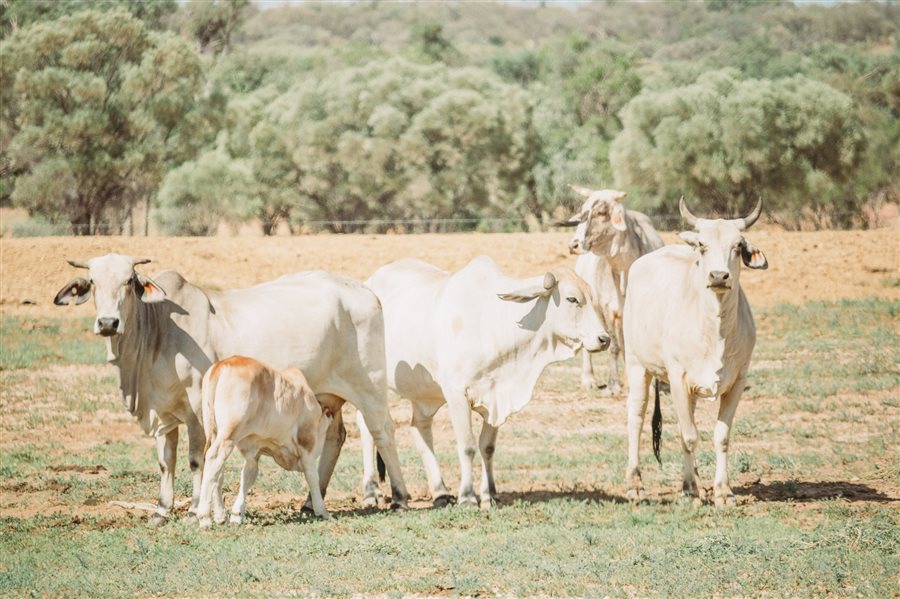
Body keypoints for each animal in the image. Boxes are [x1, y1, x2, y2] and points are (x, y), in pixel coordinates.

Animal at [197, 356, 339, 528]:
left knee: (217, 469)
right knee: (214, 458)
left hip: (213, 432)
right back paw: (204, 517)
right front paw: (322, 511)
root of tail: (224, 364)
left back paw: (219, 515)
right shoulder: (307, 447)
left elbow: (247, 477)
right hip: (229, 434)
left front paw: (237, 515)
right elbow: (312, 477)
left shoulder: (254, 451)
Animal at [359, 256, 610, 508]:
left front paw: (490, 495)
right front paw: (468, 496)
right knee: (369, 427)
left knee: (420, 430)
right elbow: (467, 446)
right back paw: (373, 492)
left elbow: (487, 447)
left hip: (422, 392)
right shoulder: (457, 394)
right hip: (368, 382)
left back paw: (440, 492)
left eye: (592, 298)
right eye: (572, 299)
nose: (604, 339)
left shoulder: (497, 397)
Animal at [561, 186, 664, 394]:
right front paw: (614, 384)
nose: (573, 245)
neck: (623, 269)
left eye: (601, 212)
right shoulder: (605, 308)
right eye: (582, 211)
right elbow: (614, 347)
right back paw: (589, 379)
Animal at [622, 198, 767, 507]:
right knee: (636, 417)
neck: (715, 329)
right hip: (637, 365)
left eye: (738, 245)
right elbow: (689, 436)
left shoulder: (737, 380)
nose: (718, 276)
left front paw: (721, 491)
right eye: (702, 244)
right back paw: (635, 485)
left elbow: (720, 436)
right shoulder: (678, 377)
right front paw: (692, 489)